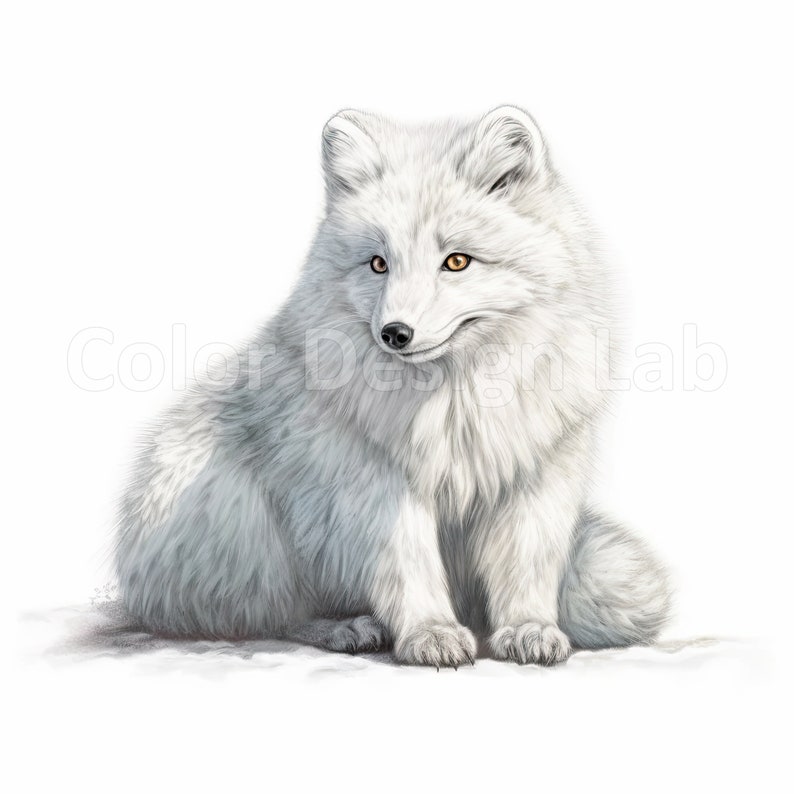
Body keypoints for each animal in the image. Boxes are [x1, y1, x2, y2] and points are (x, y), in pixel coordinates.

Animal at [115, 106, 671, 667]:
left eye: (457, 261)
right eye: (378, 263)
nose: (395, 334)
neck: (455, 402)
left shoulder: (536, 475)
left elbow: (526, 564)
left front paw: (528, 628)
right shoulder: (373, 484)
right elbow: (409, 564)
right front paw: (431, 634)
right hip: (237, 514)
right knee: (267, 616)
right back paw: (347, 627)